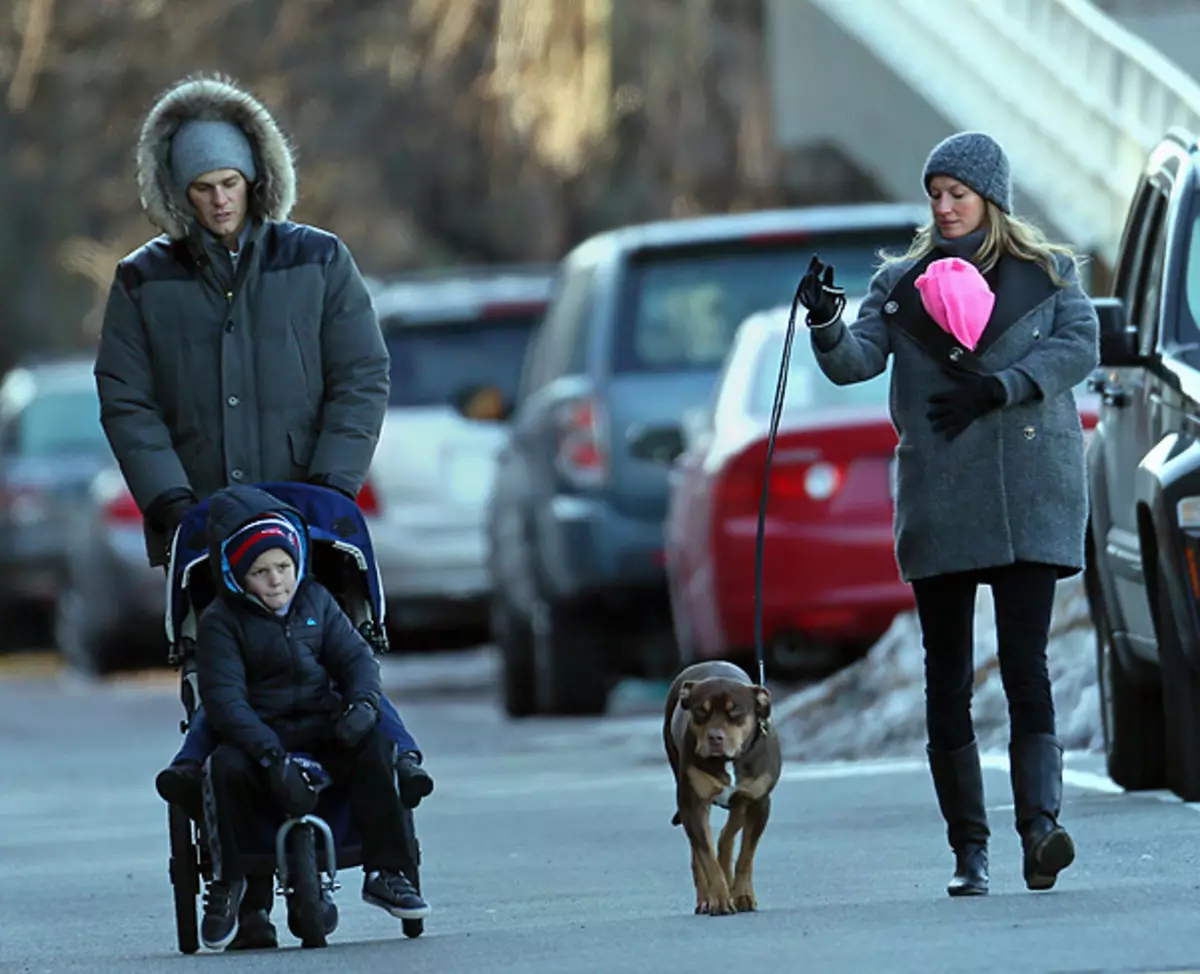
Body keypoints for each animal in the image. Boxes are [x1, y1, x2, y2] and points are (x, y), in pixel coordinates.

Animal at [662, 657, 782, 916]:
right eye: (701, 711)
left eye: (735, 711)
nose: (715, 737)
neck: (729, 759)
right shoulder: (693, 805)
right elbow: (707, 859)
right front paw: (718, 899)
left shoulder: (758, 803)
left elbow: (746, 854)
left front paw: (743, 895)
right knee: (698, 853)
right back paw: (705, 899)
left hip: (740, 804)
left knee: (726, 838)